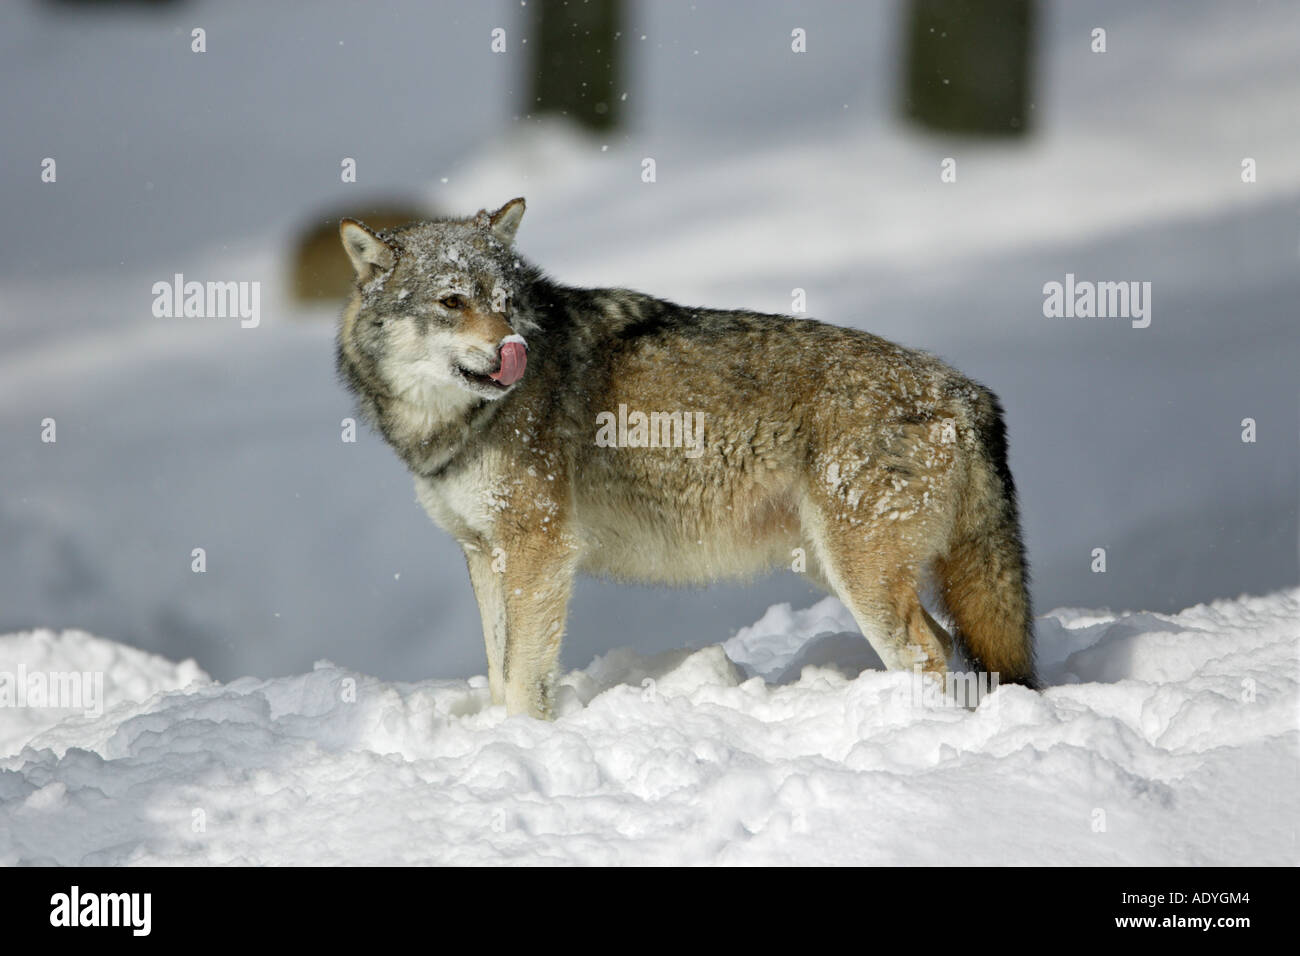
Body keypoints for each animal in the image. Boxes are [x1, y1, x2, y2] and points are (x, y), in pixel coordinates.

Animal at [336, 199, 1036, 719]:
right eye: (452, 301)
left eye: (505, 301)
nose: (514, 350)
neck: (457, 423)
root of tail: (967, 392)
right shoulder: (484, 553)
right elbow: (497, 668)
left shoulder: (539, 551)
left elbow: (522, 678)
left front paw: (520, 742)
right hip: (834, 567)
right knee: (944, 643)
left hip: (861, 578)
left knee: (927, 653)